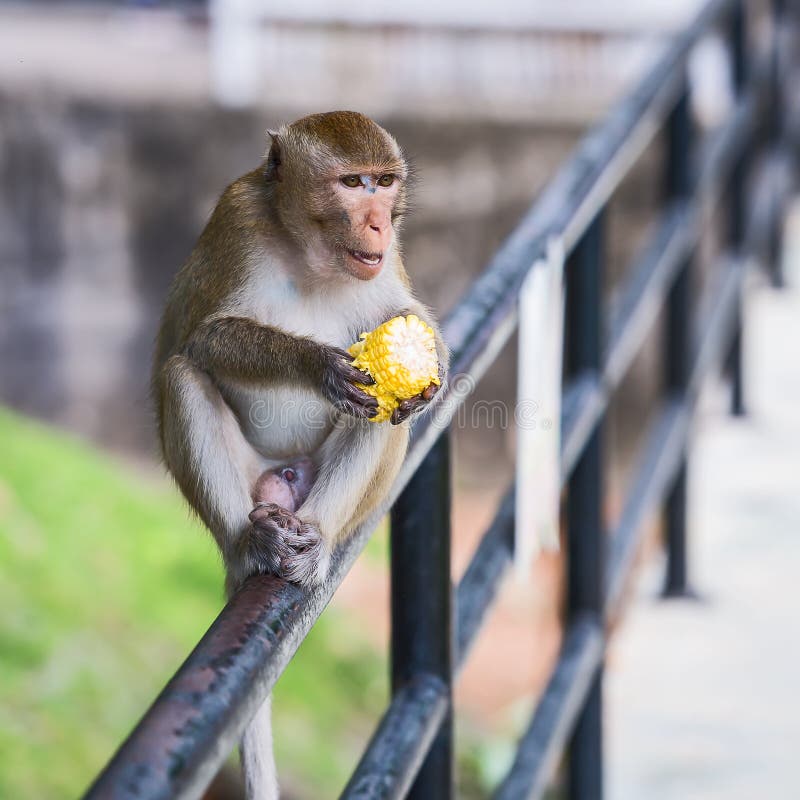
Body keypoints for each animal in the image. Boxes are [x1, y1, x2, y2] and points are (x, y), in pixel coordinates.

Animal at [152, 111, 448, 800]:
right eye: (352, 183)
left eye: (384, 183)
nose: (379, 221)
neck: (313, 256)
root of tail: (282, 486)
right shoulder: (237, 219)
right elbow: (206, 337)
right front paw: (318, 367)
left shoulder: (387, 261)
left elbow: (408, 318)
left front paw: (431, 374)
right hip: (245, 483)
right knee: (183, 374)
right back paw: (251, 544)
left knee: (383, 416)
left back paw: (314, 538)